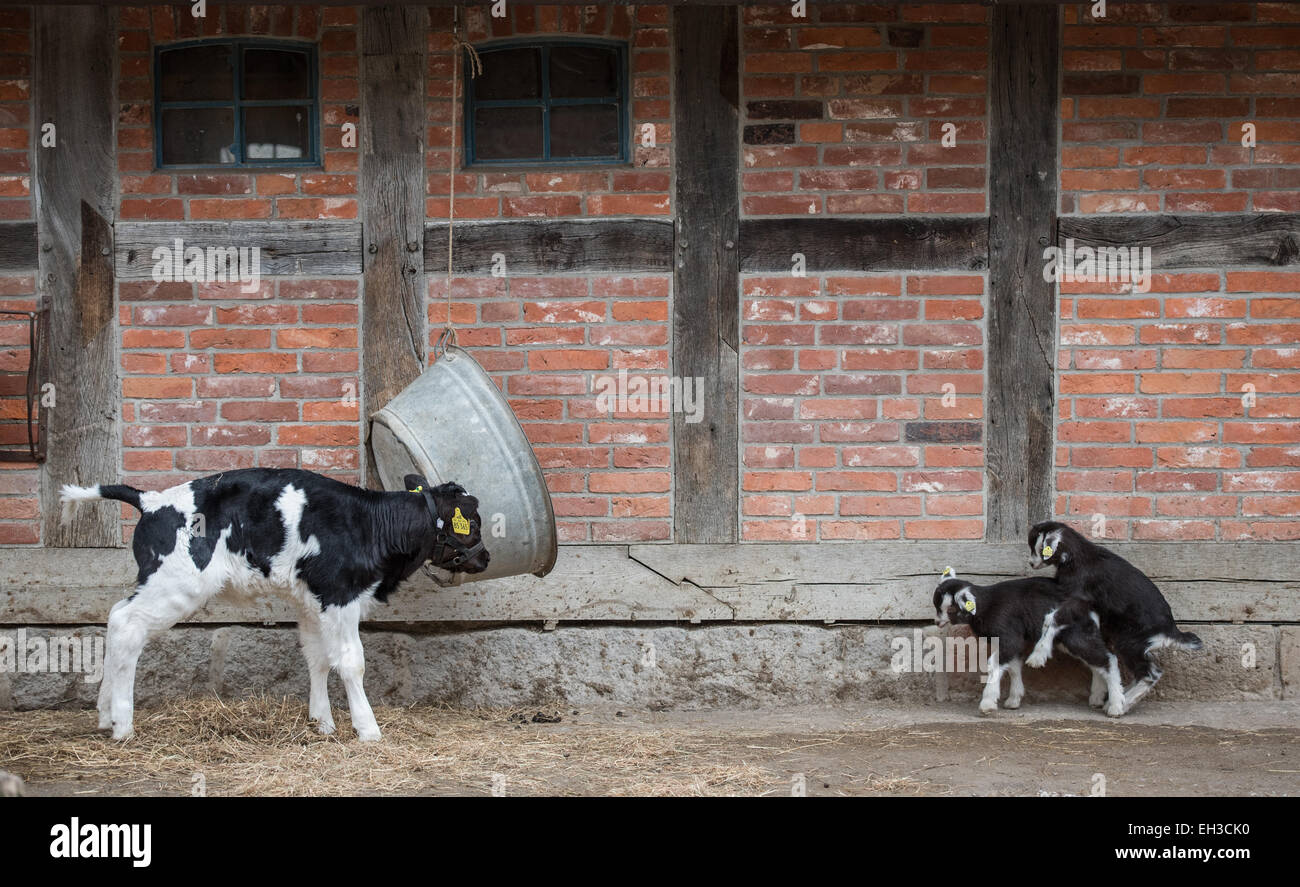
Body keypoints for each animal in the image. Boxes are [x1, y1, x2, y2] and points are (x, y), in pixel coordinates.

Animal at [60, 468, 489, 742]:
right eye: (472, 523)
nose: (485, 558)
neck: (369, 525)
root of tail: (152, 499)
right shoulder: (340, 596)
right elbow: (351, 661)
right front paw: (367, 729)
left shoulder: (312, 600)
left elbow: (318, 658)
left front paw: (322, 722)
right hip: (177, 585)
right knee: (128, 627)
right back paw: (123, 724)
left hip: (156, 582)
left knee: (115, 618)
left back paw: (104, 715)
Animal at [934, 570, 1125, 716]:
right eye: (937, 606)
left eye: (951, 609)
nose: (937, 622)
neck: (985, 606)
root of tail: (1089, 604)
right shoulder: (1011, 642)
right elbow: (1013, 667)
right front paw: (1014, 699)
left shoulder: (1009, 637)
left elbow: (994, 664)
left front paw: (987, 703)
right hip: (1071, 638)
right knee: (1096, 662)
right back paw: (1098, 697)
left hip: (1075, 634)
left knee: (1109, 659)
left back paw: (1116, 706)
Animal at [1028, 520, 1202, 715]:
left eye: (1037, 547)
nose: (1031, 563)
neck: (1079, 558)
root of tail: (1171, 630)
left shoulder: (1080, 597)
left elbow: (1054, 617)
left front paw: (1038, 655)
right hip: (1135, 643)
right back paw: (1118, 698)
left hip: (1130, 642)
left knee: (1151, 673)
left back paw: (1119, 706)